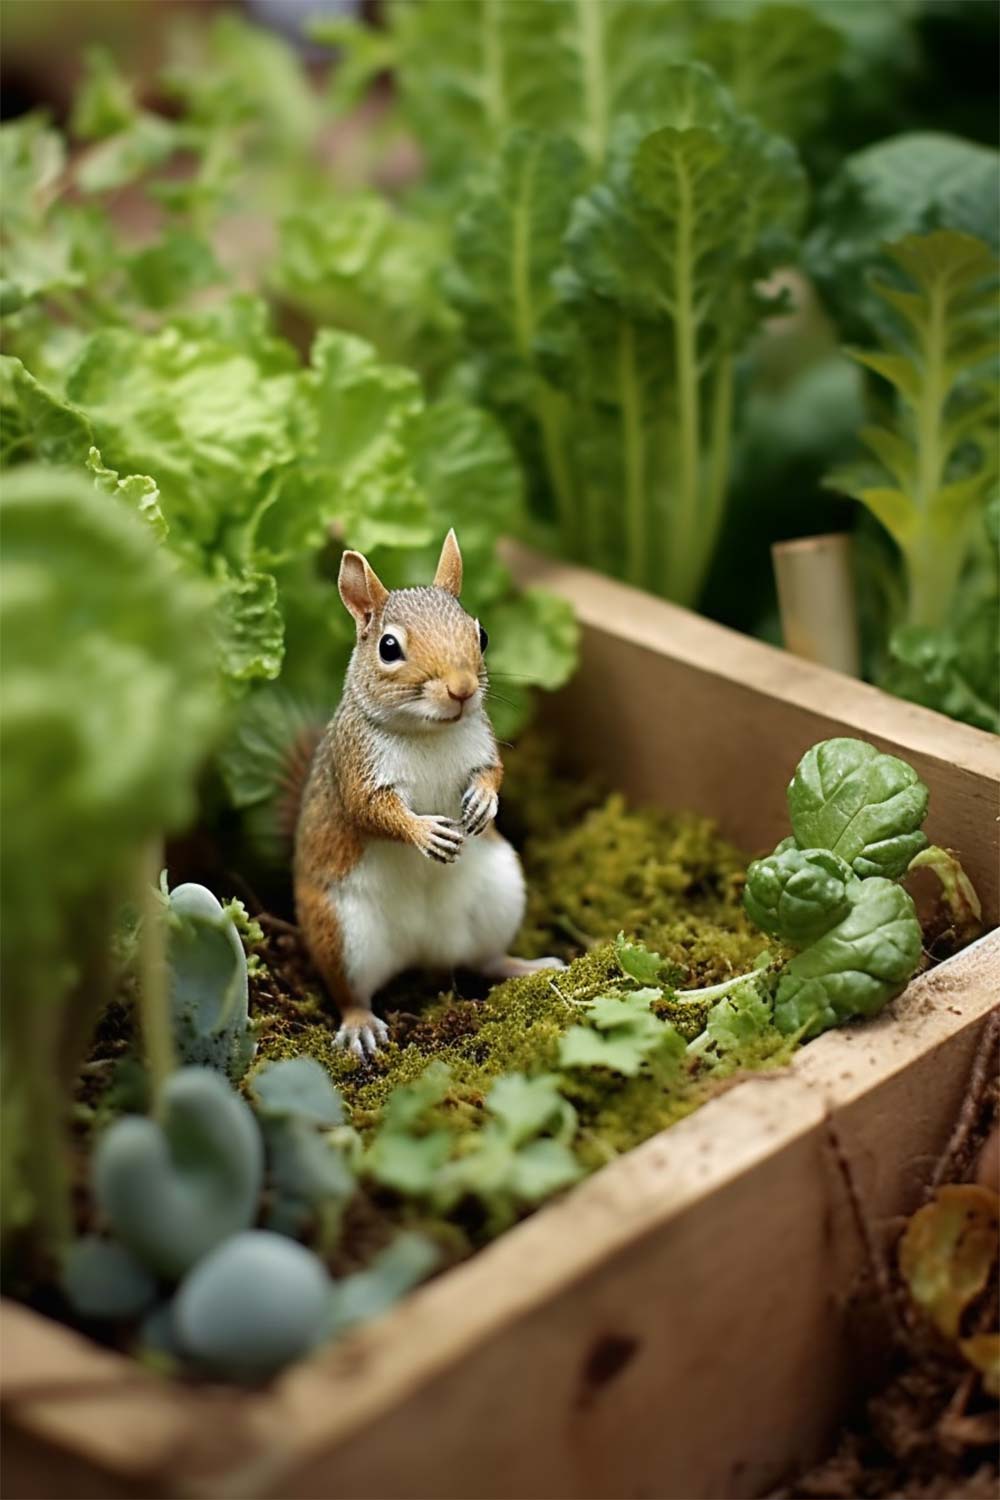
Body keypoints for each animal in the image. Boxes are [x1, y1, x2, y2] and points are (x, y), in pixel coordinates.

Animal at [293, 529, 564, 1059]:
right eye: (389, 647)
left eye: (481, 634)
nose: (461, 689)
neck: (428, 733)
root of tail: (420, 949)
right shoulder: (356, 767)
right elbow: (372, 811)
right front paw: (423, 833)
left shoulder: (481, 746)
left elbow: (493, 773)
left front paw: (484, 804)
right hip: (341, 930)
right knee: (350, 991)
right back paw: (360, 1024)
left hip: (498, 897)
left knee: (483, 960)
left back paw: (526, 967)